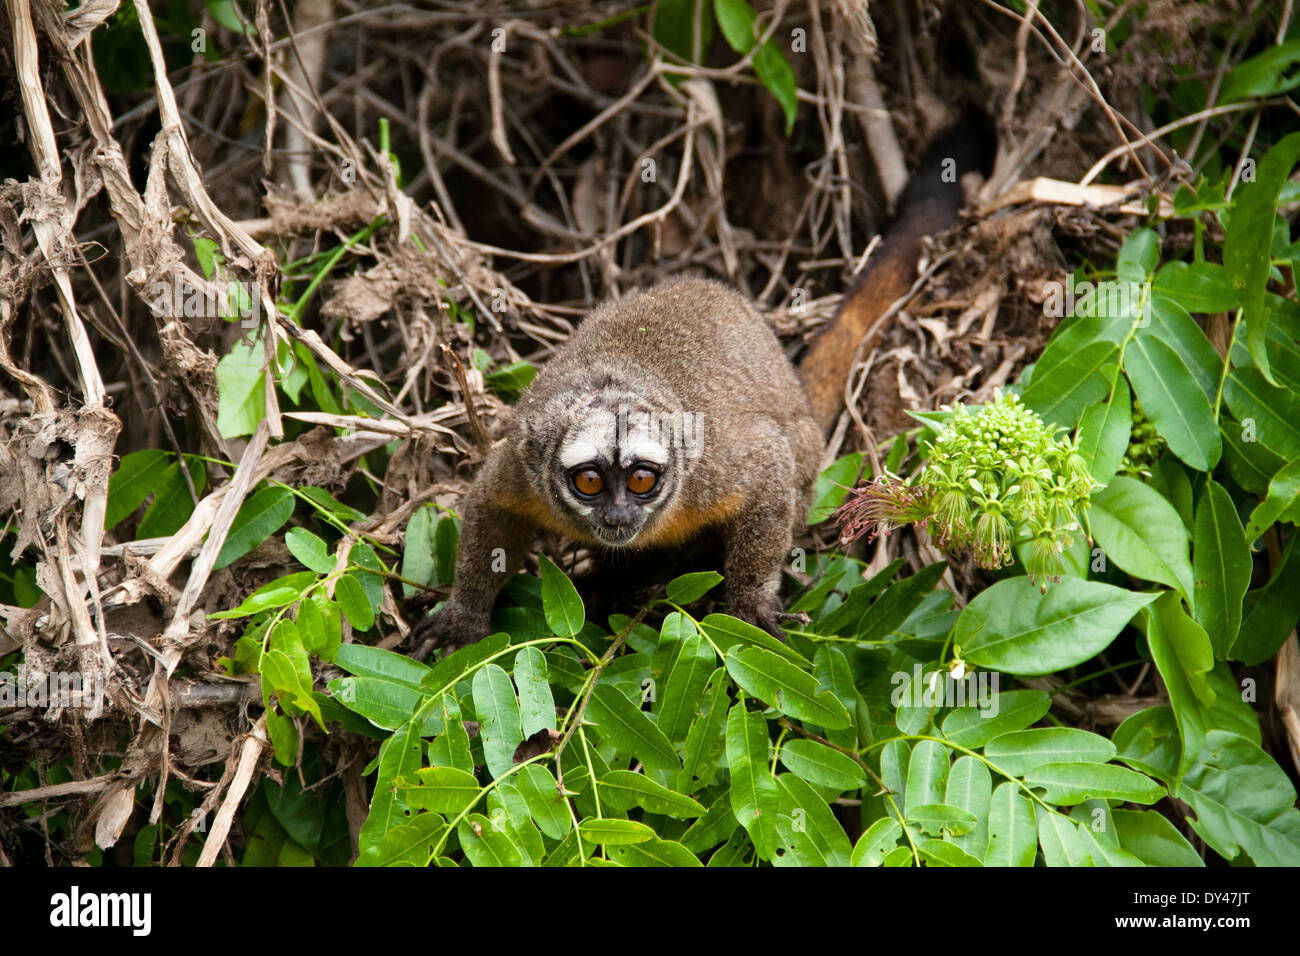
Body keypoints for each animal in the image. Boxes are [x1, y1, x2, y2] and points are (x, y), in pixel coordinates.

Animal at [411, 119, 992, 655]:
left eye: (641, 480)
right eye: (590, 483)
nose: (618, 515)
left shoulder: (711, 468)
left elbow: (769, 472)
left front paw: (750, 603)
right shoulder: (524, 465)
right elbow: (489, 506)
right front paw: (463, 615)